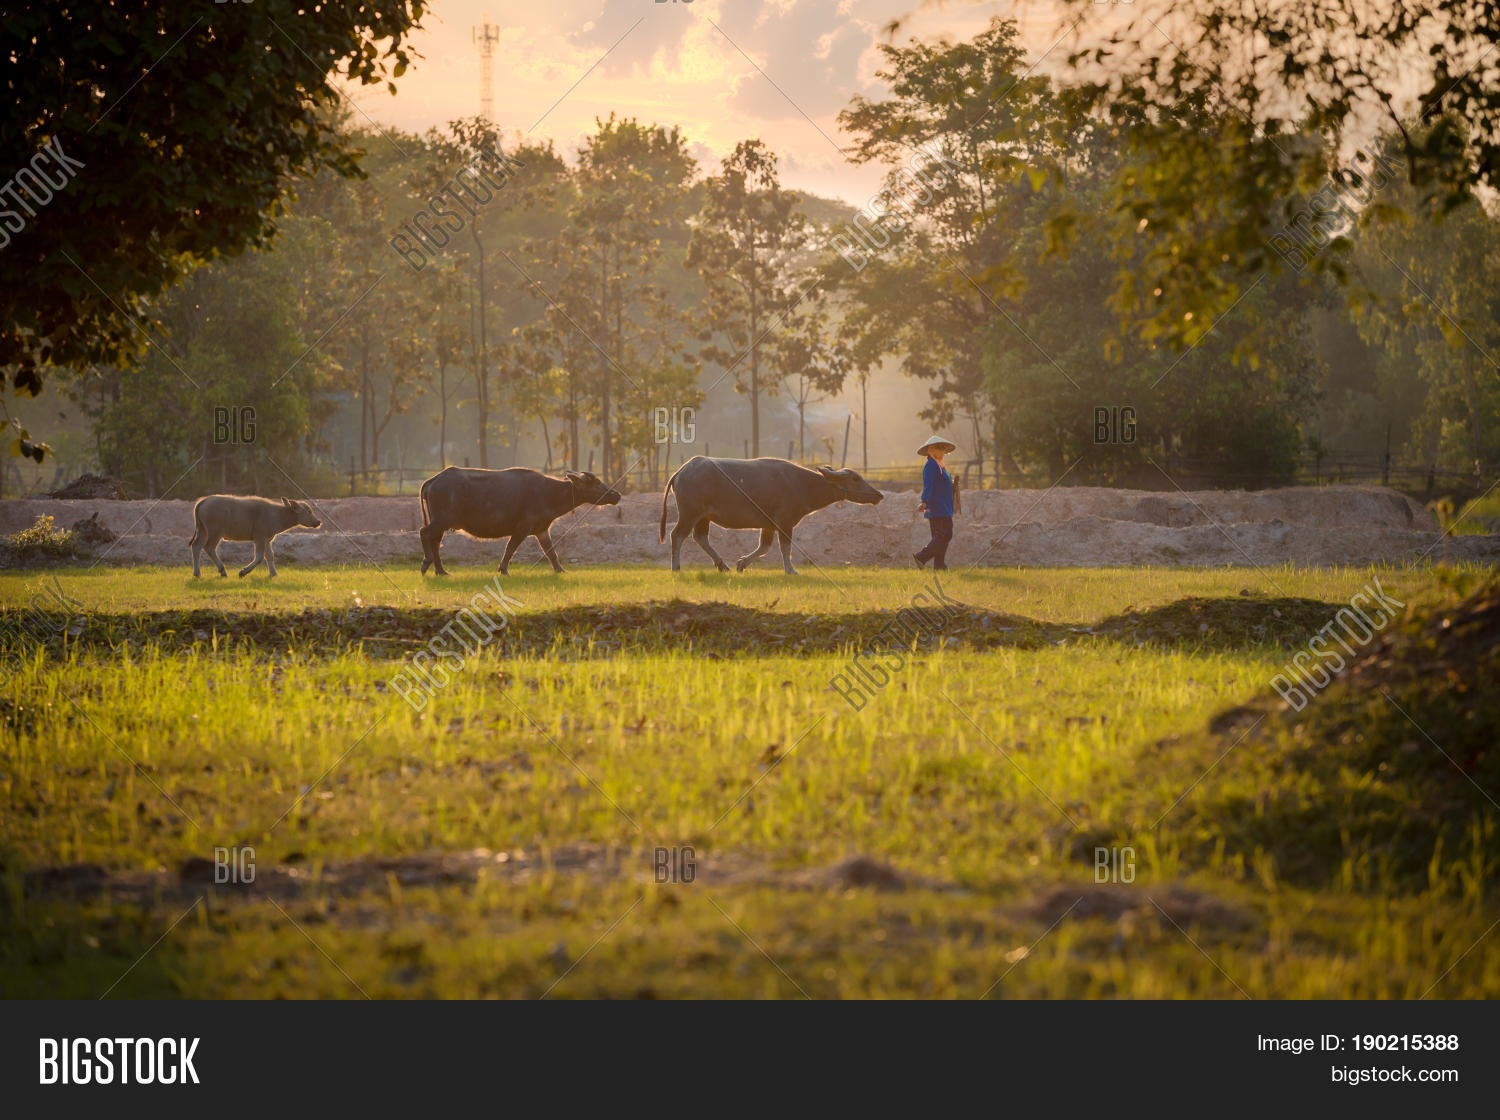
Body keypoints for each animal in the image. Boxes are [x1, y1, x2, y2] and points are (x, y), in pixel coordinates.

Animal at [419, 466, 621, 575]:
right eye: (596, 483)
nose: (616, 494)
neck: (549, 493)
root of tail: (434, 479)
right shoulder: (523, 528)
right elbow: (510, 548)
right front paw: (503, 570)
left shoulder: (541, 529)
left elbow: (551, 552)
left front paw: (561, 570)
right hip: (442, 520)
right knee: (425, 533)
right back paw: (426, 563)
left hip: (441, 523)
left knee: (436, 542)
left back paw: (441, 571)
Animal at [659, 456, 884, 574]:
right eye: (855, 478)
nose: (878, 494)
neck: (802, 484)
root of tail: (681, 470)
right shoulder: (785, 522)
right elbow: (785, 547)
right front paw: (791, 570)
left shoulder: (768, 524)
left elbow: (764, 547)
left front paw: (742, 563)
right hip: (690, 513)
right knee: (677, 535)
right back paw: (676, 567)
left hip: (702, 517)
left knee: (700, 537)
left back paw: (723, 565)